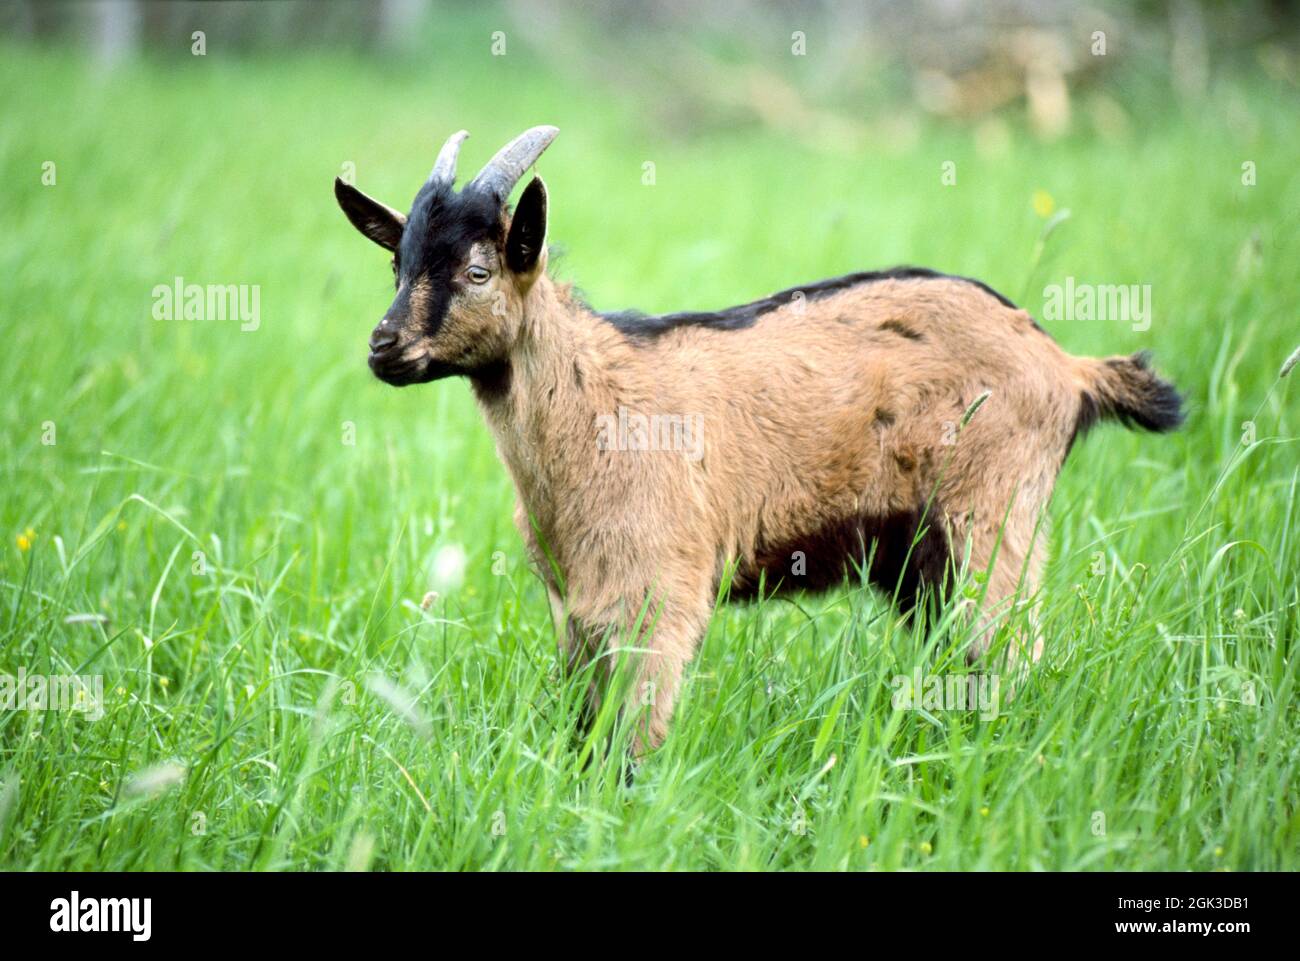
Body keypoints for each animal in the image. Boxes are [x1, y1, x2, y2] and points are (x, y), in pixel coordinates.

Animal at [334, 126, 1184, 753]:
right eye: (396, 262)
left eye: (479, 271)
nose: (382, 345)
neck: (591, 402)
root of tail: (1066, 366)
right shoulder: (574, 602)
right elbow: (581, 723)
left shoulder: (661, 590)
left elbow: (633, 739)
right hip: (919, 559)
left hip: (995, 518)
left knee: (1011, 651)